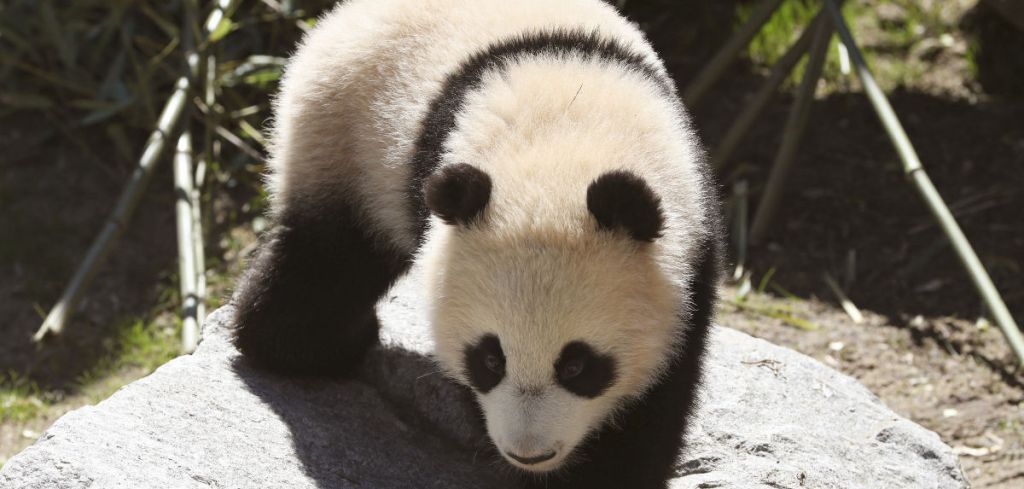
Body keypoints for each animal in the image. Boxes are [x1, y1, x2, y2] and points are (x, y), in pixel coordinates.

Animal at [230, 0, 721, 487]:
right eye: (489, 358)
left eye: (577, 365)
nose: (530, 453)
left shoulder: (690, 249)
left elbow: (659, 392)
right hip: (344, 140)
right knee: (326, 260)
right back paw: (322, 344)